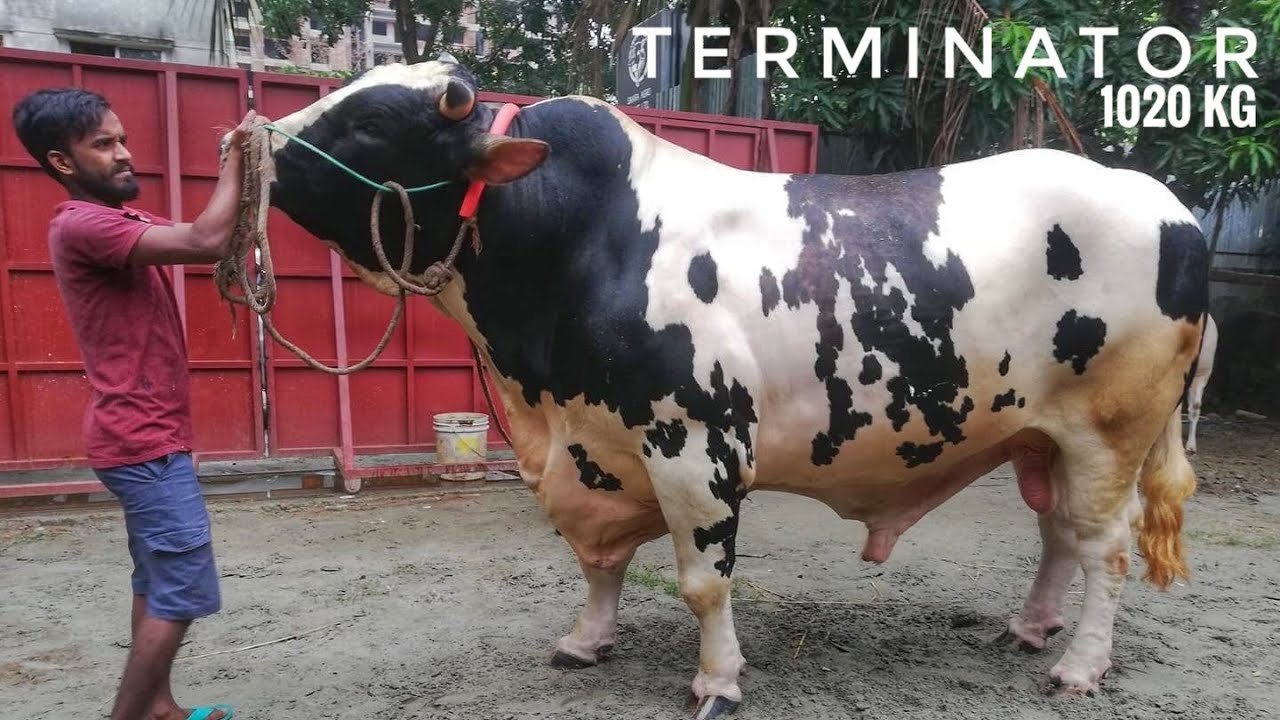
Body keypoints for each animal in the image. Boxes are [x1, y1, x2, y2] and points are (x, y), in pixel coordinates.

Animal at [236, 56, 1209, 717]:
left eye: (370, 123)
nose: (247, 142)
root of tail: (1168, 203)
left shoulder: (694, 448)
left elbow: (703, 583)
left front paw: (717, 679)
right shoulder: (594, 447)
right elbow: (598, 561)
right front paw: (586, 640)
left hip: (1109, 432)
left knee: (1105, 549)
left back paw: (1077, 665)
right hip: (1039, 435)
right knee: (1057, 535)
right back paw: (1030, 626)